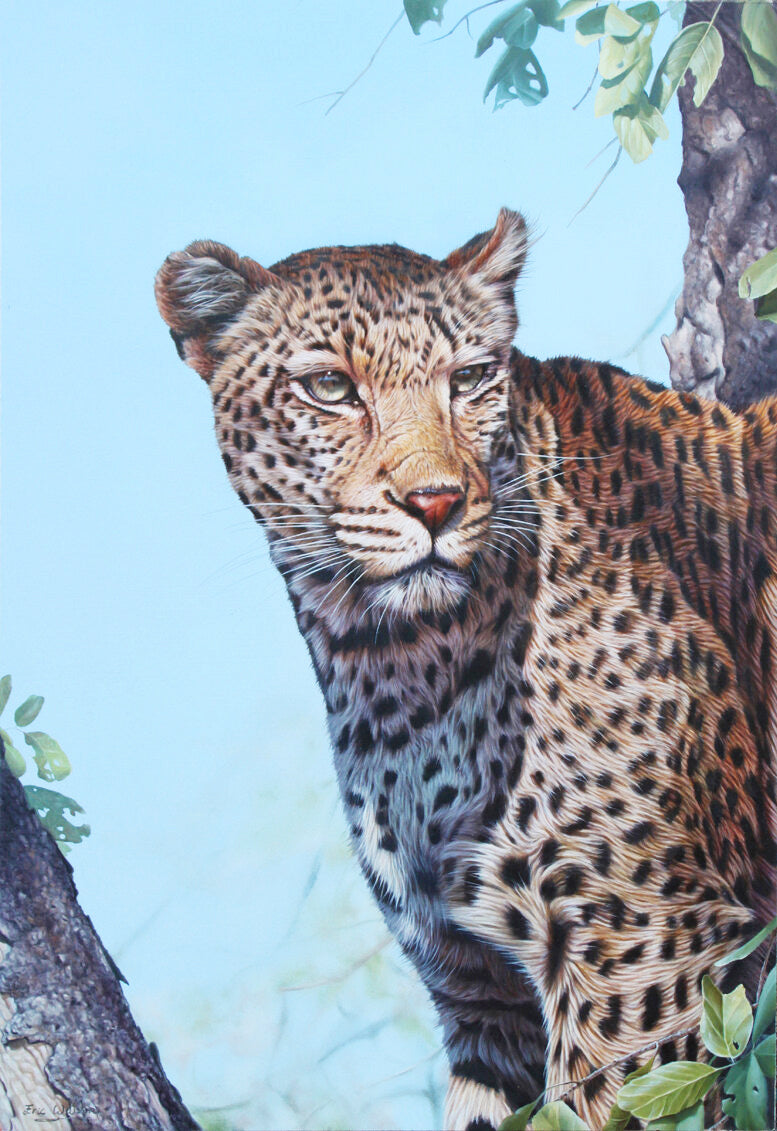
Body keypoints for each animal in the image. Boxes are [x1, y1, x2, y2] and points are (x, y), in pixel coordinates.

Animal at [155, 210, 777, 1130]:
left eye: (472, 378)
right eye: (330, 387)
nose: (436, 501)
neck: (394, 663)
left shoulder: (646, 947)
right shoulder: (477, 987)